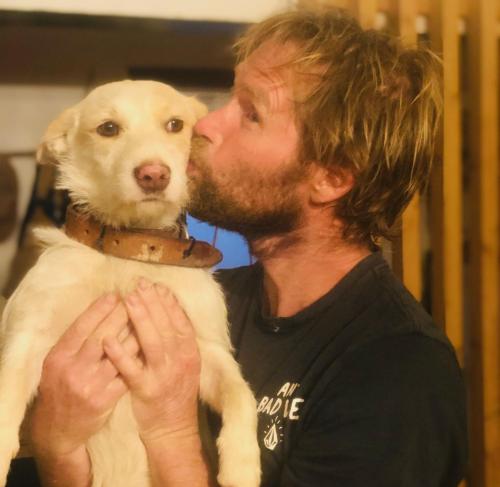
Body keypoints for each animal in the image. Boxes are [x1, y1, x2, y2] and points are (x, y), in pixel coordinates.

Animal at [0, 80, 260, 487]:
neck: (127, 255)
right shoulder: (27, 338)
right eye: (108, 128)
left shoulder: (207, 351)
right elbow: (5, 400)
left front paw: (242, 465)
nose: (154, 174)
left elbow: (242, 394)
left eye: (175, 125)